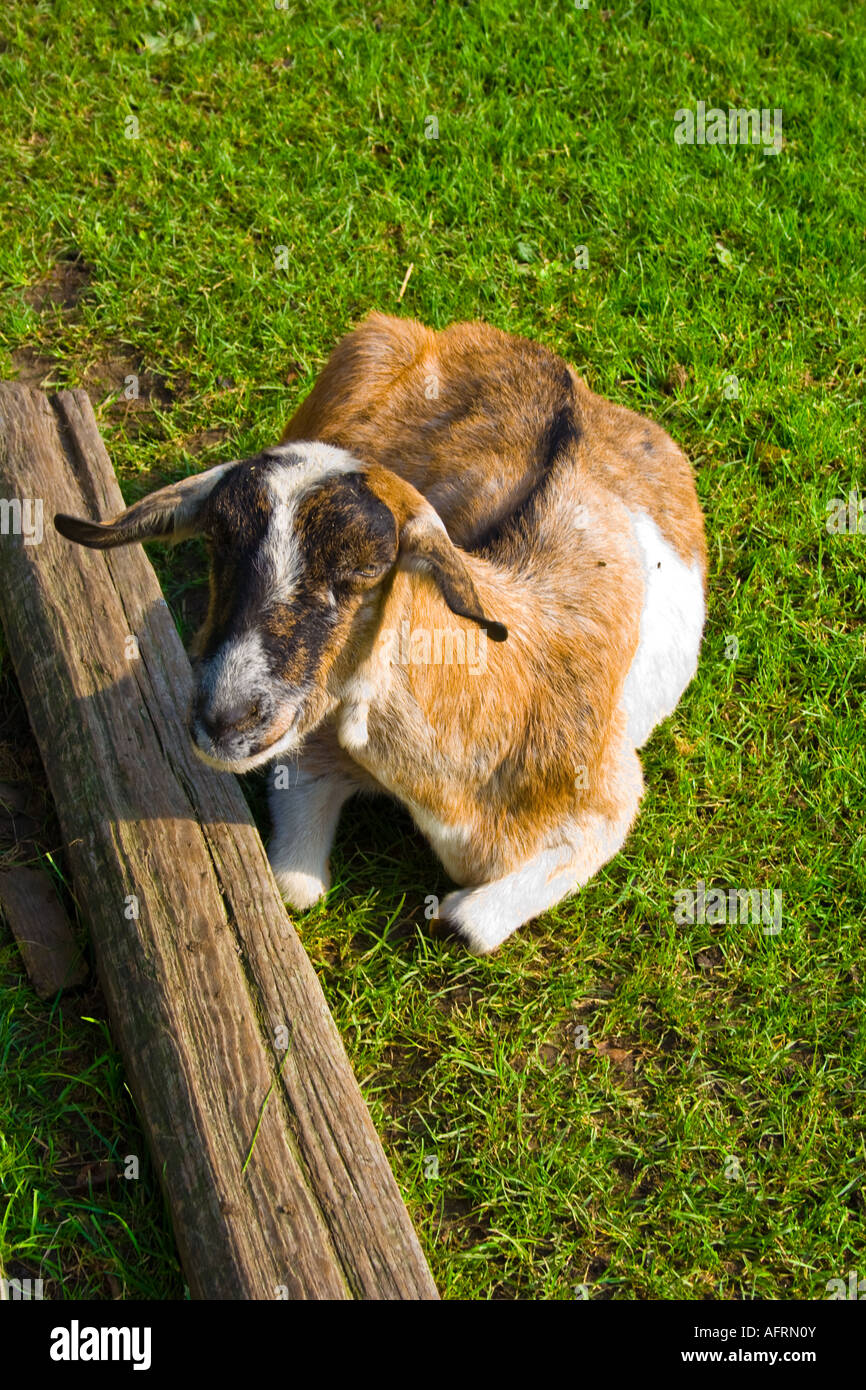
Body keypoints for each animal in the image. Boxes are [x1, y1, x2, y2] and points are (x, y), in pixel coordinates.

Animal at [54, 312, 707, 954]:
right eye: (217, 544)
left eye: (367, 569)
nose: (226, 720)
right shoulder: (312, 743)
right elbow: (296, 888)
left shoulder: (611, 798)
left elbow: (466, 924)